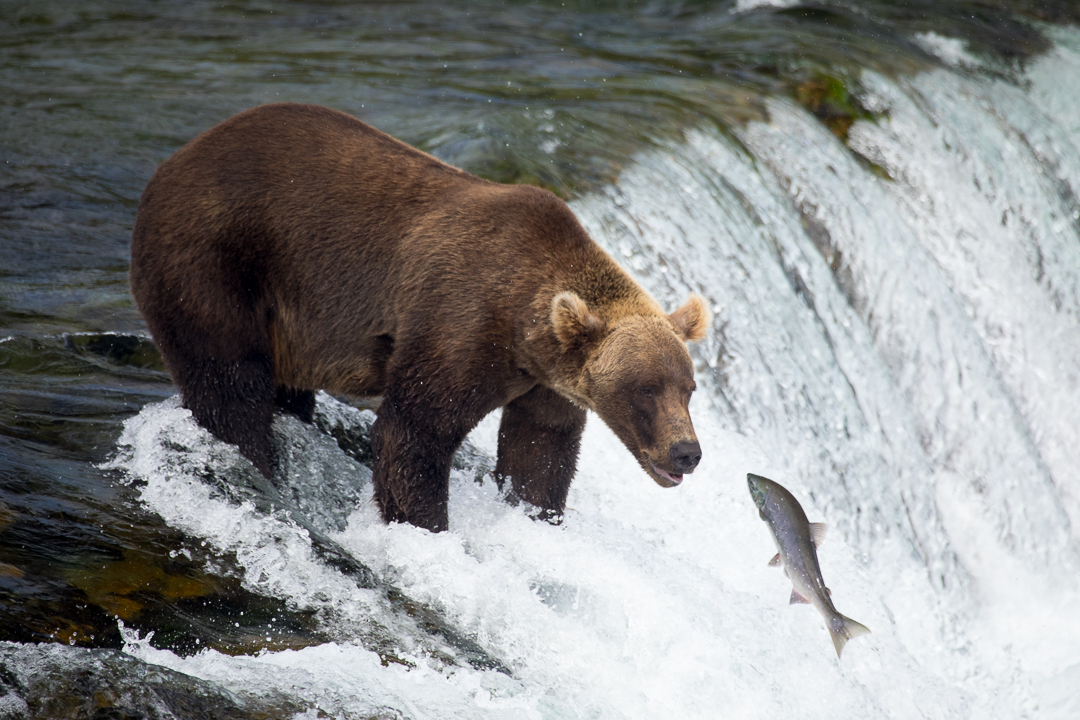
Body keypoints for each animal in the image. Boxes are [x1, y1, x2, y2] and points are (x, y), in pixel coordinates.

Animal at [130, 102, 709, 532]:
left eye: (688, 388)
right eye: (644, 388)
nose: (687, 452)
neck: (524, 326)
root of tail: (173, 162)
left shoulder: (546, 382)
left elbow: (540, 451)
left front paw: (536, 511)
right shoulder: (461, 321)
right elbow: (416, 430)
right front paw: (425, 526)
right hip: (217, 261)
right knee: (230, 385)